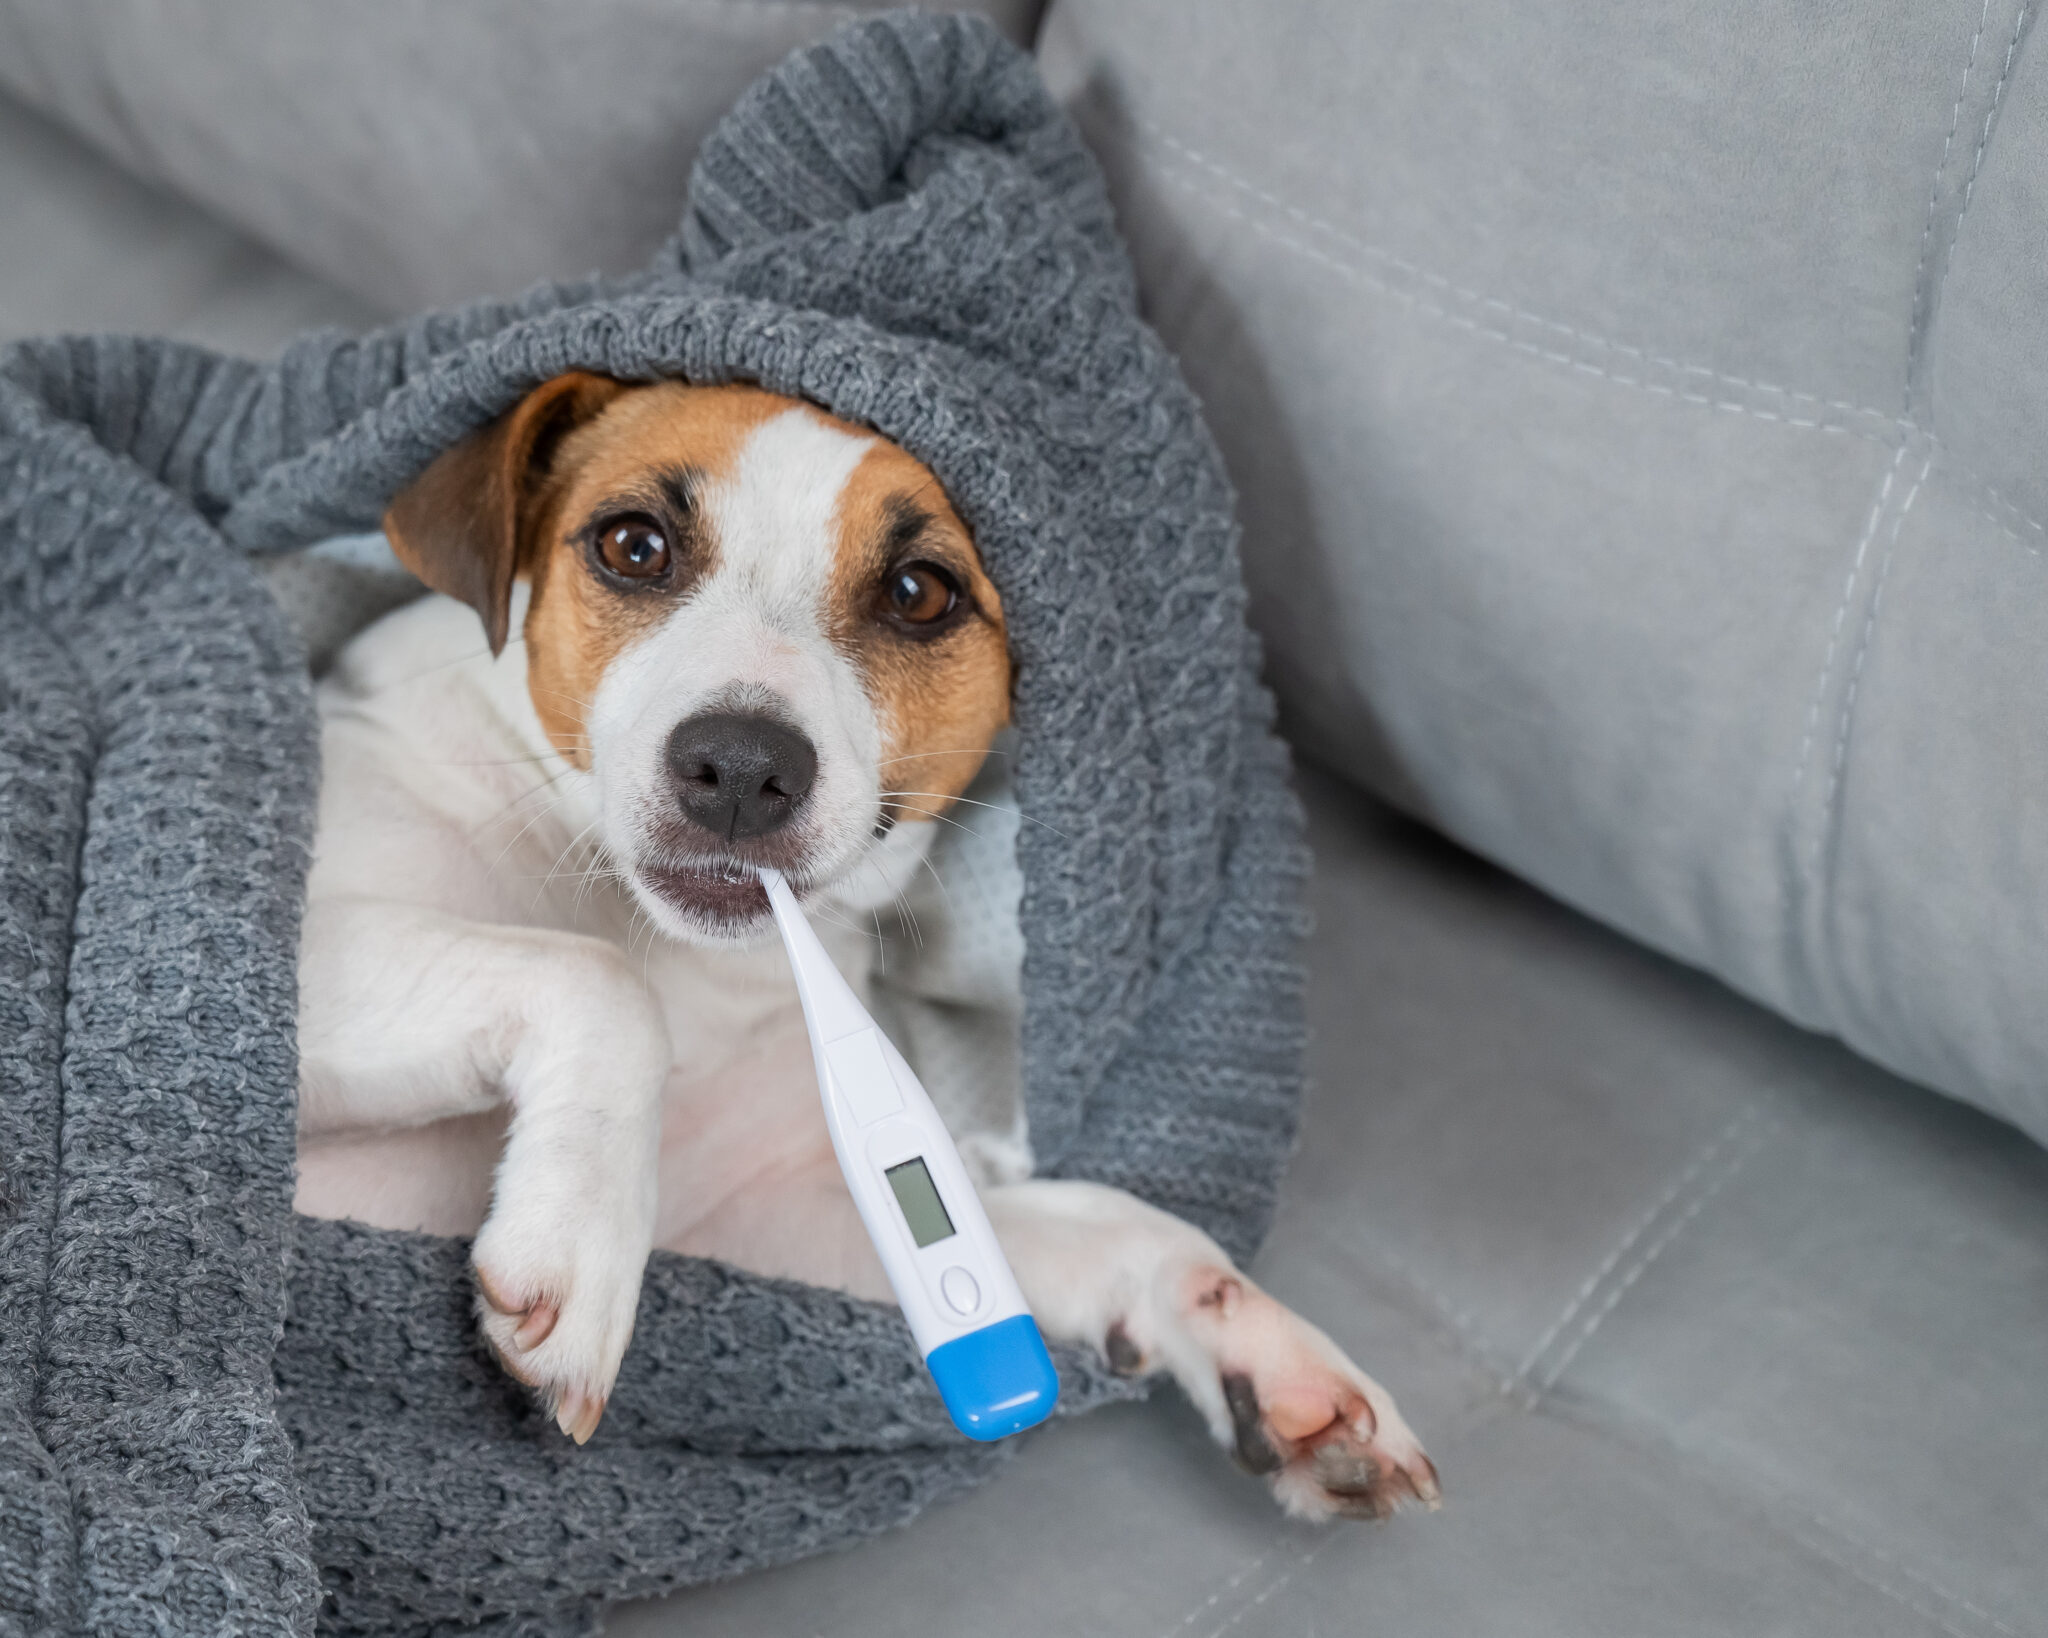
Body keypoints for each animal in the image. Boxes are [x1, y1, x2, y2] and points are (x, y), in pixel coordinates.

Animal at [291, 372, 1438, 1520]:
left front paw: (1265, 1356)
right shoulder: (293, 976)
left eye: (920, 592)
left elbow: (1096, 1223)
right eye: (632, 545)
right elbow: (599, 980)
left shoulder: (760, 1220)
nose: (738, 767)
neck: (673, 951)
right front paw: (575, 1238)